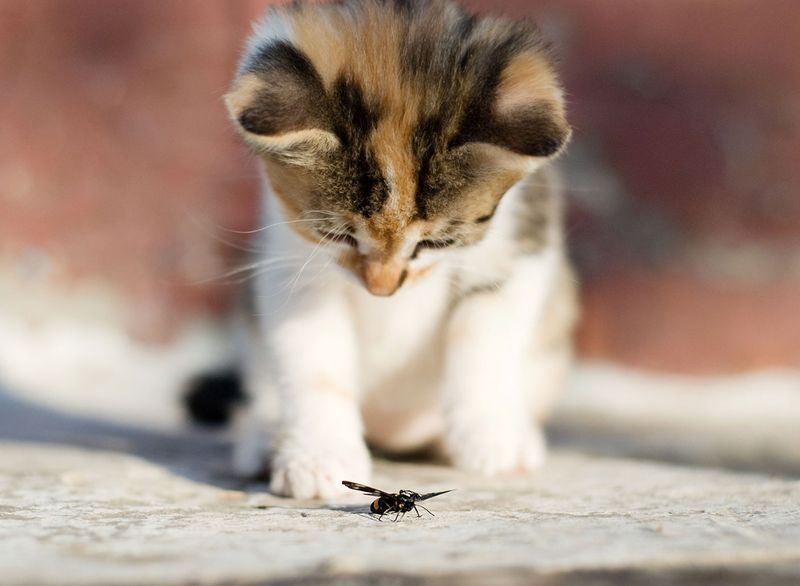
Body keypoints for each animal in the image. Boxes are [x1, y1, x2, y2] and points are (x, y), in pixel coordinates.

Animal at [223, 0, 576, 498]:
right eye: (340, 236)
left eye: (434, 242)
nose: (383, 289)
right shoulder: (288, 261)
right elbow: (314, 360)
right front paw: (319, 458)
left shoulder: (525, 240)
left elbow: (487, 335)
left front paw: (492, 437)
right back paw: (260, 441)